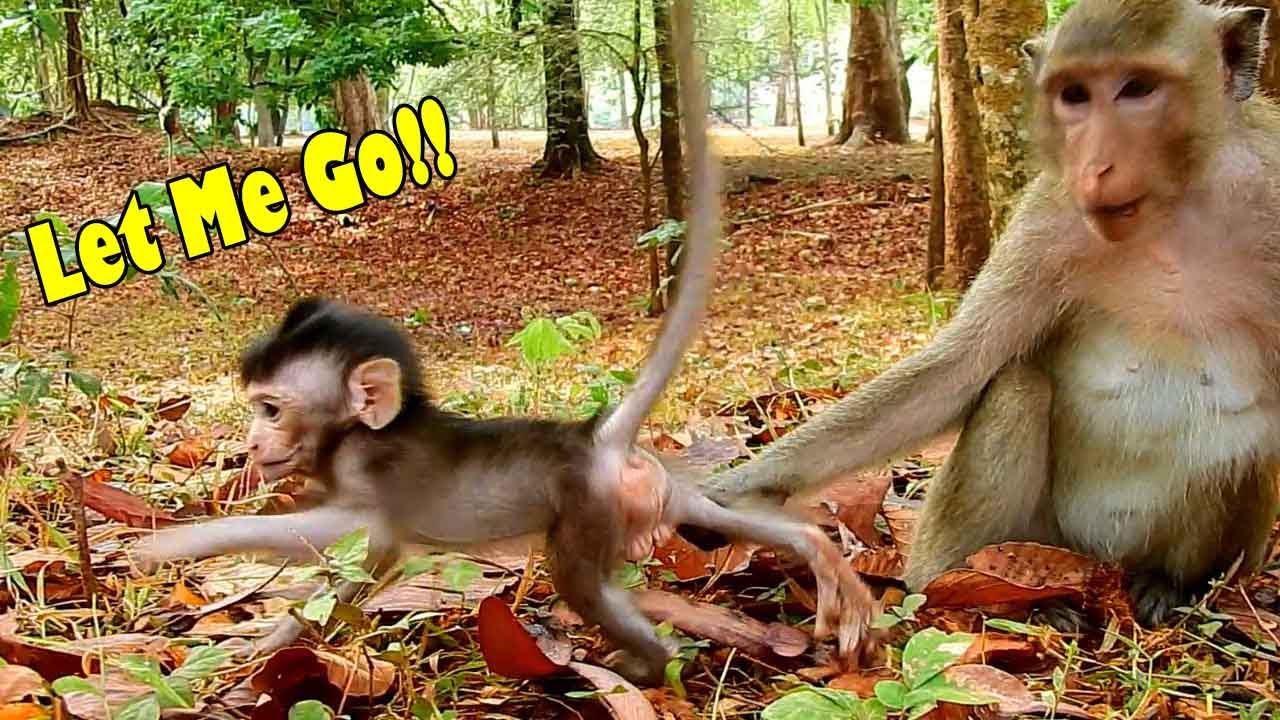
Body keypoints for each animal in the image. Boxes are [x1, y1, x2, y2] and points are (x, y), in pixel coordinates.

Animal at [133, 1, 873, 685]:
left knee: (580, 582)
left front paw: (175, 547)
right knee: (706, 515)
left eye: (271, 409)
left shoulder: (370, 482)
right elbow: (352, 570)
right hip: (652, 491)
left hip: (588, 507)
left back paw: (644, 666)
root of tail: (594, 437)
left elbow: (350, 543)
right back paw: (813, 550)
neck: (359, 434)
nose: (251, 444)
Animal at [689, 0, 1280, 627]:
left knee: (1250, 440)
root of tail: (1100, 565)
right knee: (1017, 390)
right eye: (1075, 95)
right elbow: (957, 370)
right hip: (1045, 535)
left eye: (1138, 89)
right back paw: (976, 593)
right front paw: (733, 492)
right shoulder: (1048, 219)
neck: (1170, 215)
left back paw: (1166, 585)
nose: (1096, 166)